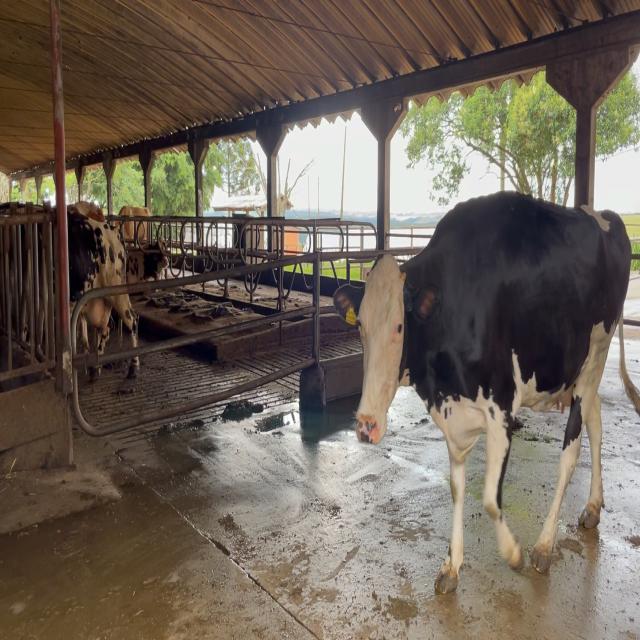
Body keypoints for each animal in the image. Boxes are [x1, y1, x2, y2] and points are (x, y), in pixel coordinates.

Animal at [68, 210, 139, 380]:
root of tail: (113, 230)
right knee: (104, 328)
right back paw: (95, 367)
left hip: (116, 289)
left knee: (131, 319)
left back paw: (133, 367)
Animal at [333, 191, 640, 594]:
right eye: (361, 327)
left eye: (400, 326)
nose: (366, 425)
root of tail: (603, 215)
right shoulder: (454, 415)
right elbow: (457, 487)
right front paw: (452, 566)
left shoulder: (501, 410)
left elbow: (492, 500)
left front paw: (513, 553)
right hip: (582, 376)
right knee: (597, 421)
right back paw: (592, 506)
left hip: (593, 359)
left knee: (571, 451)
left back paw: (544, 544)